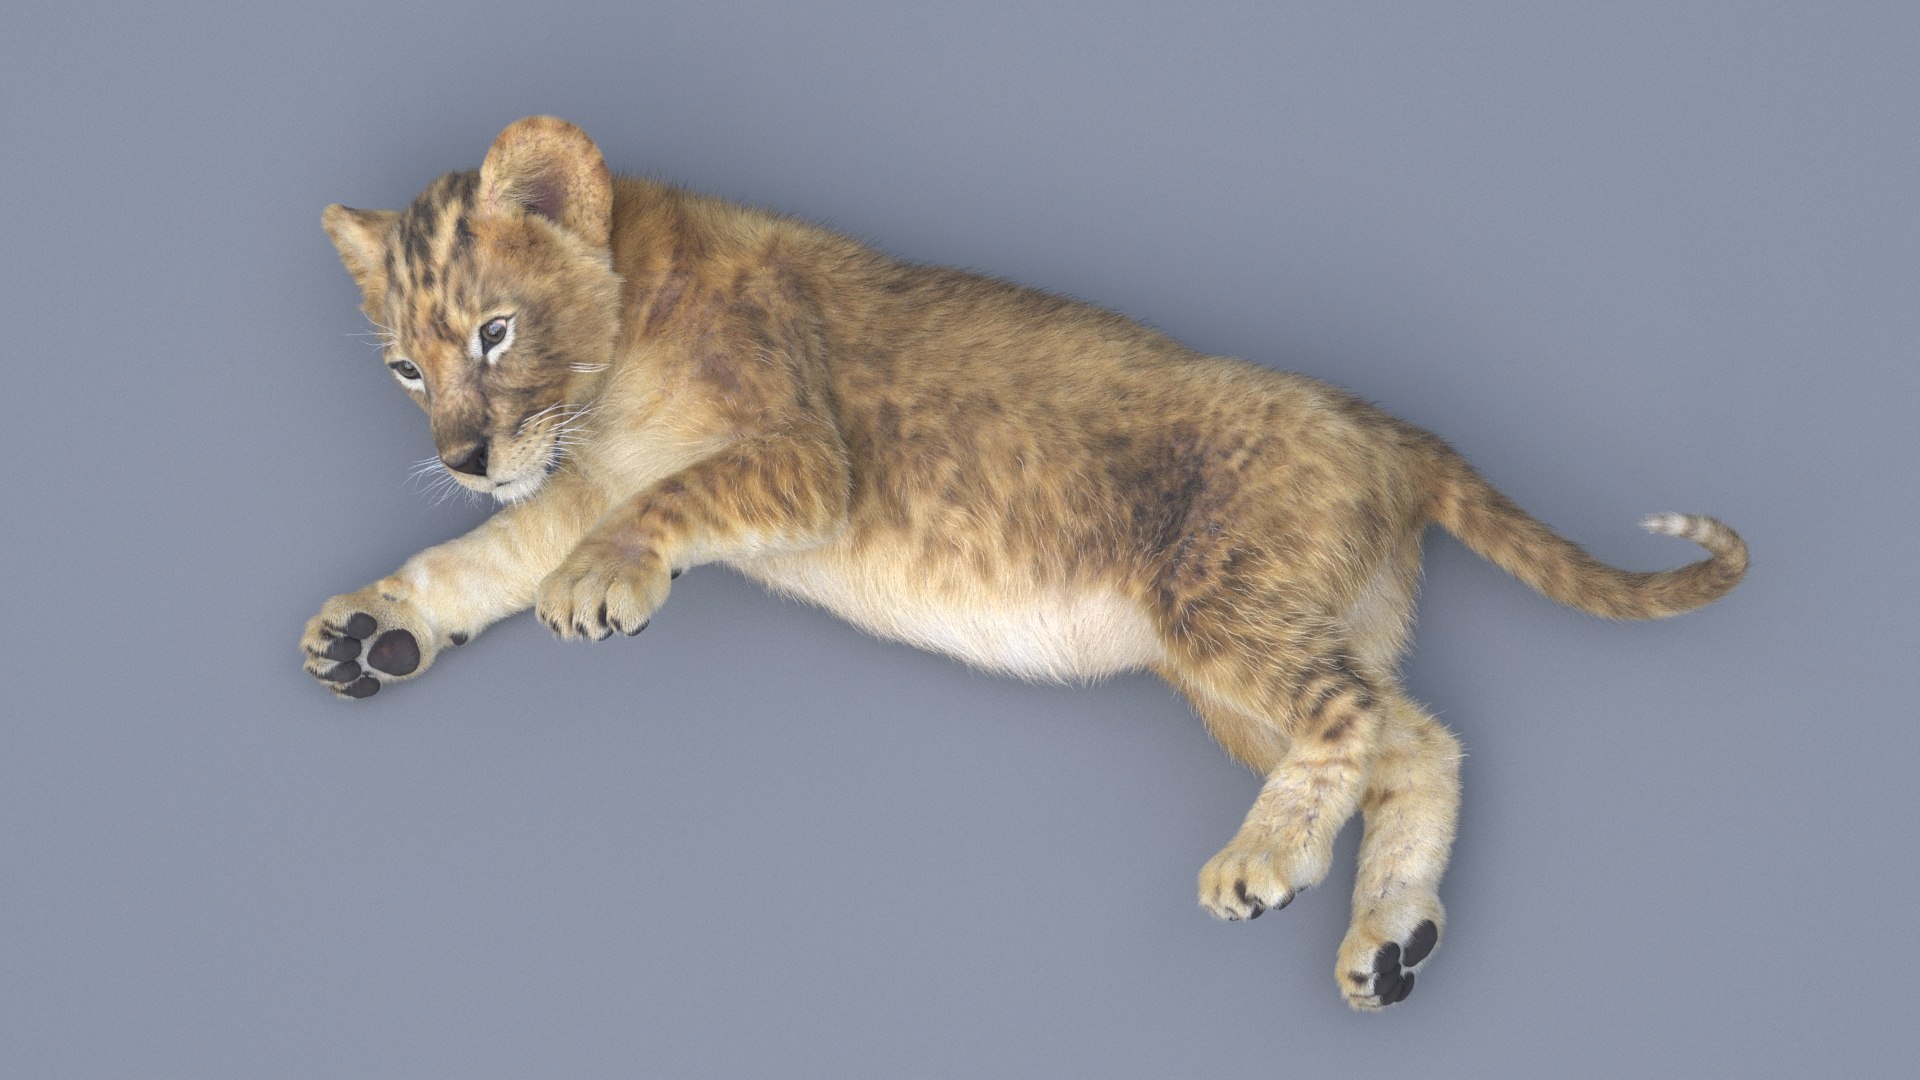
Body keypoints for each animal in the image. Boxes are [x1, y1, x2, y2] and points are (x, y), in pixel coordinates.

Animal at [304, 116, 1746, 1009]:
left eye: (493, 332)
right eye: (405, 366)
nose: (464, 451)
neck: (605, 382)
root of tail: (1387, 427)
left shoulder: (806, 454)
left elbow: (668, 503)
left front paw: (603, 586)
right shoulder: (577, 479)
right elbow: (486, 555)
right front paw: (372, 626)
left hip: (1220, 602)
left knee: (1351, 718)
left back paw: (1265, 866)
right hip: (1235, 662)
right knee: (1421, 740)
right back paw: (1390, 939)